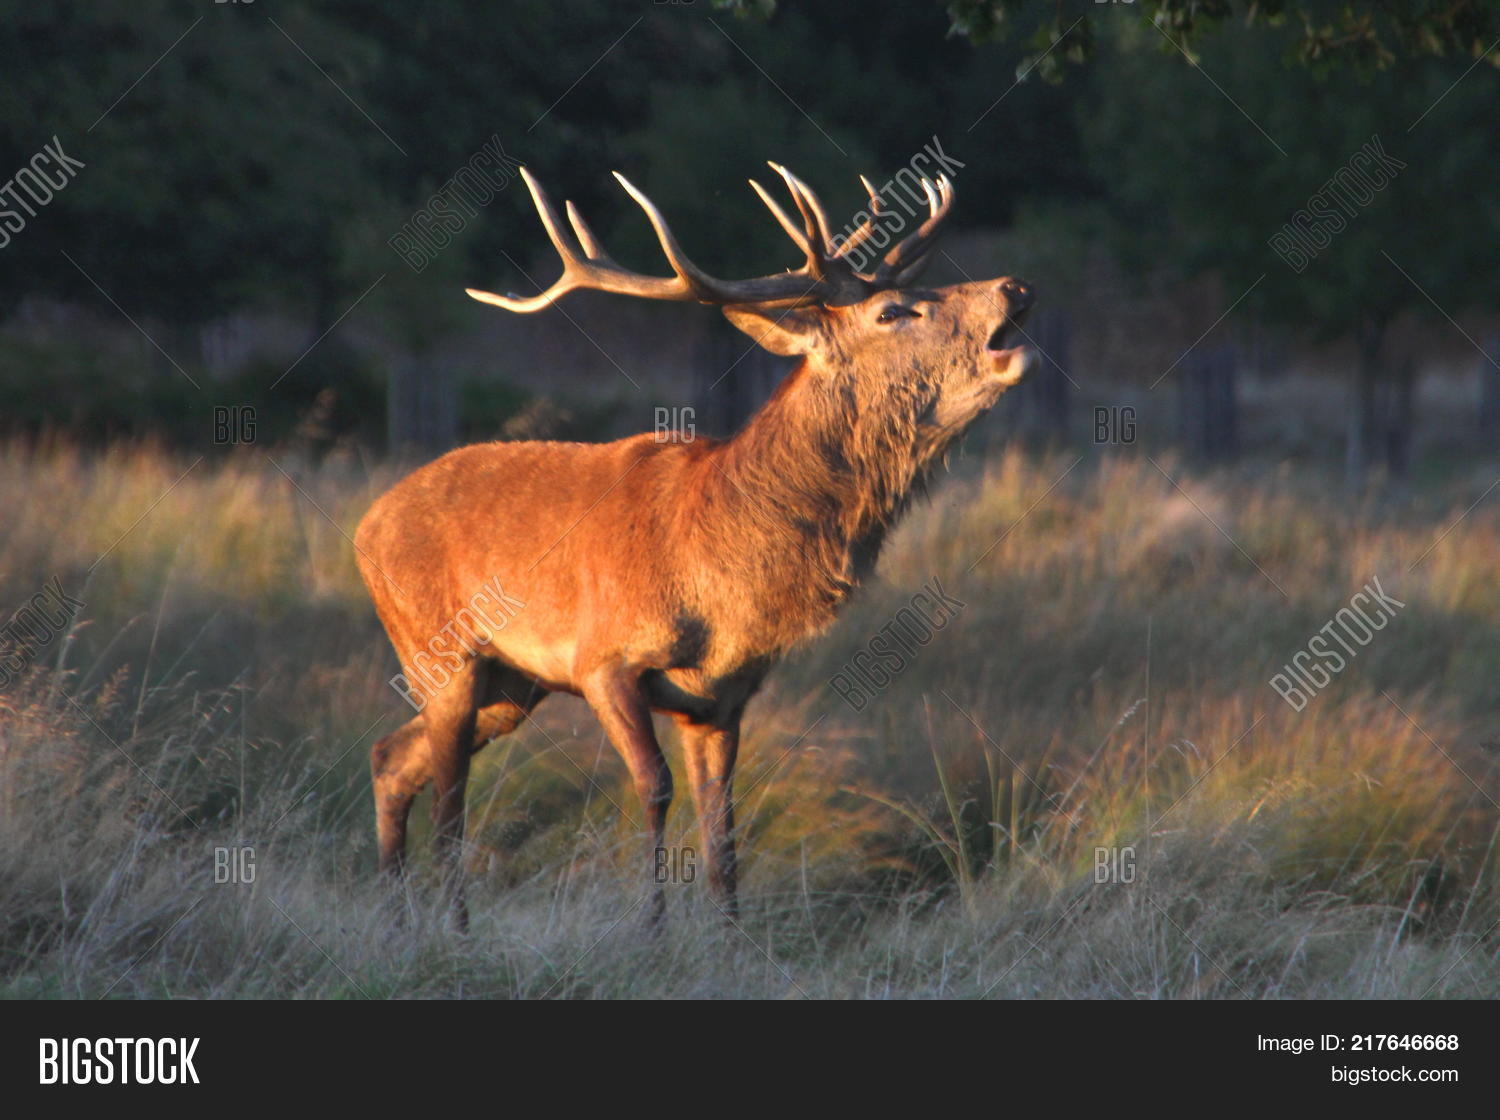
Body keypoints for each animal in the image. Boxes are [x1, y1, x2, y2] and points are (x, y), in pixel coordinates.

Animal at [355, 161, 1035, 924]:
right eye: (892, 311)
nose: (1015, 286)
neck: (716, 576)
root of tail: (365, 523)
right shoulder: (603, 659)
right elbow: (654, 790)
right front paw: (649, 927)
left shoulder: (722, 698)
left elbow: (723, 830)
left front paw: (731, 934)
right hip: (438, 652)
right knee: (448, 803)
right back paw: (453, 926)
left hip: (512, 684)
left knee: (391, 758)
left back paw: (395, 914)